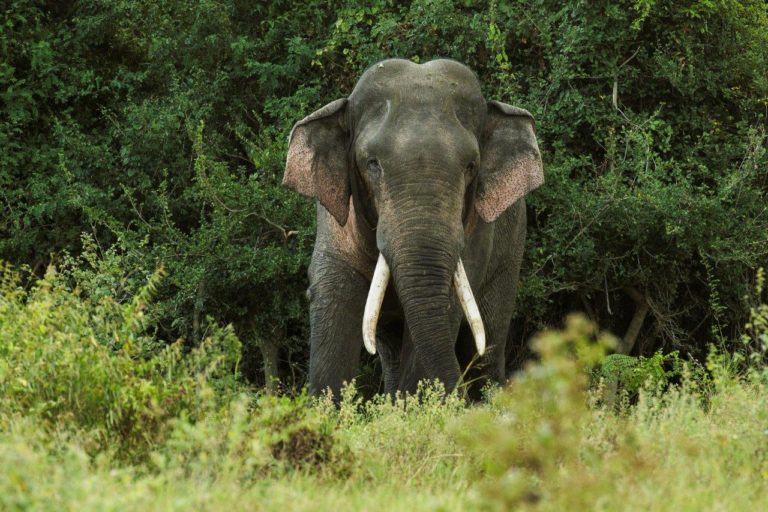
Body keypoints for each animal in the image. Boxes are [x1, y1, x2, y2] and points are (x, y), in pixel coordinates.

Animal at [283, 58, 543, 398]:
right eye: (372, 163)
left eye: (471, 166)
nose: (454, 395)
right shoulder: (336, 223)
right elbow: (333, 292)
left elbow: (445, 306)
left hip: (511, 247)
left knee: (486, 348)